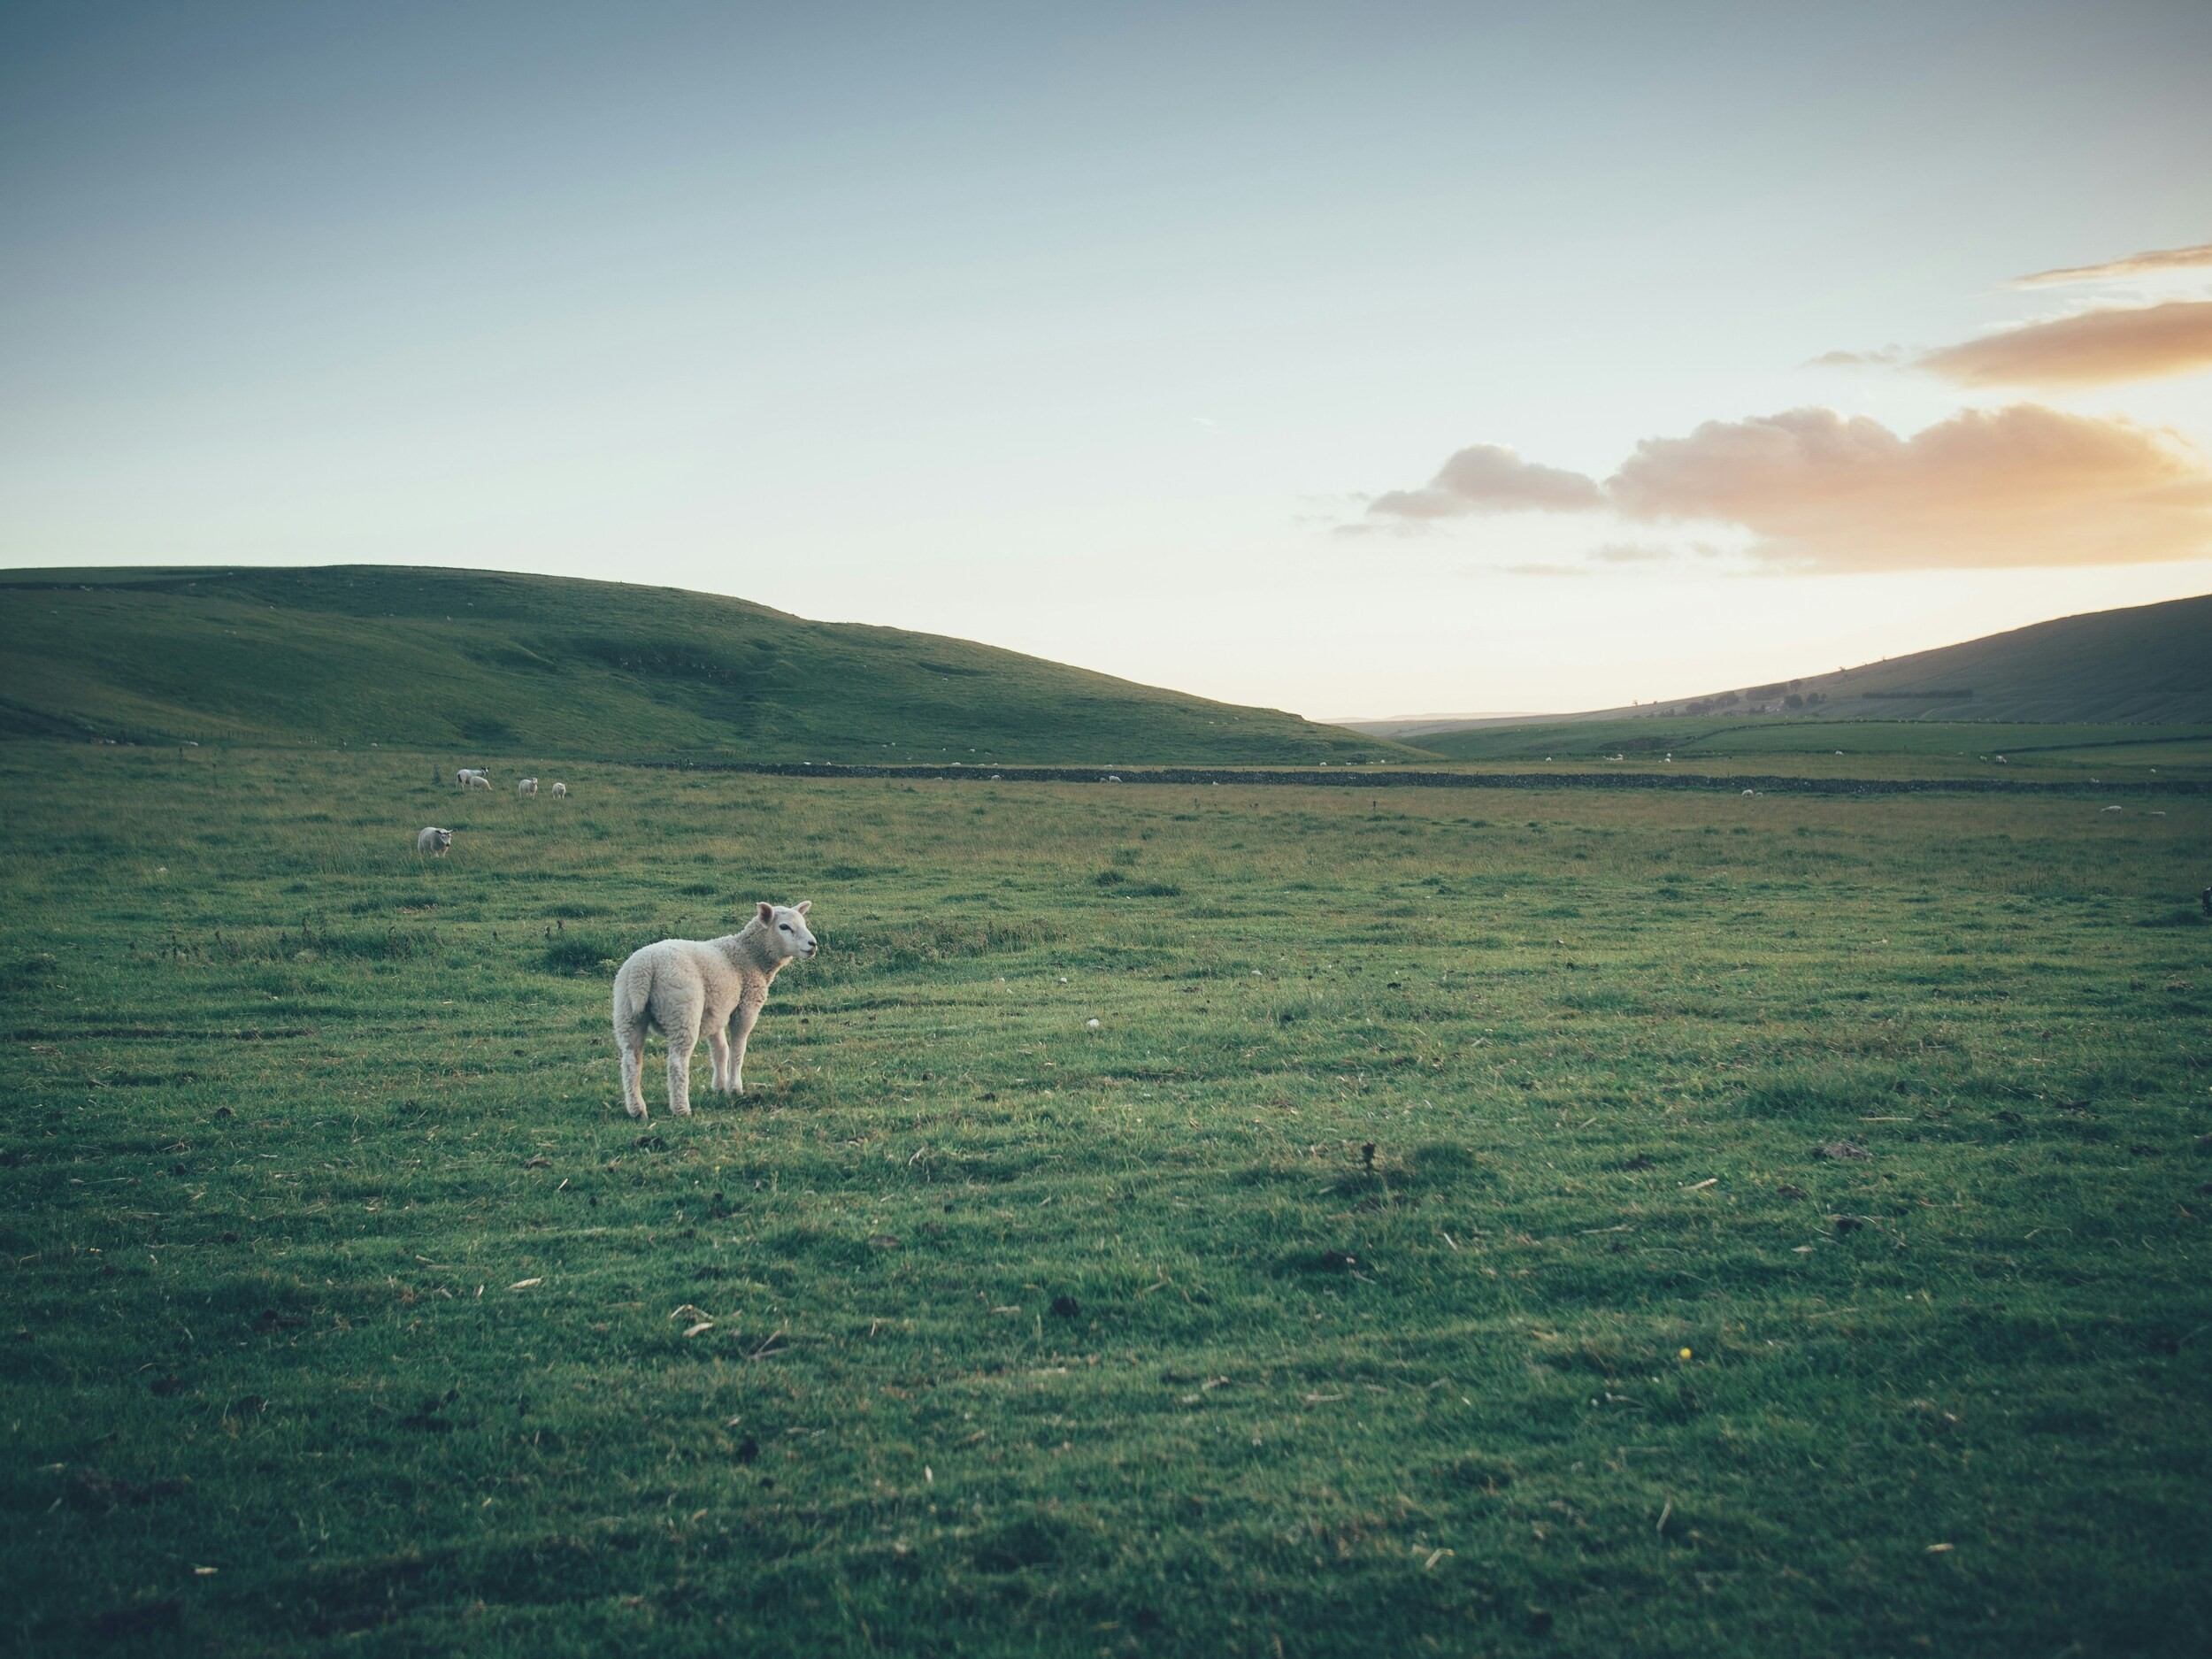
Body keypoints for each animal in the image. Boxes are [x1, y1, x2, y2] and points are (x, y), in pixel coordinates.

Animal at [612, 902, 818, 1121]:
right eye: (784, 927)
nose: (813, 944)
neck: (751, 955)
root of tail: (644, 968)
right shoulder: (745, 1007)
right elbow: (737, 1050)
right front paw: (734, 1088)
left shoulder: (714, 1011)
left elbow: (720, 1050)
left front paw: (718, 1086)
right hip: (682, 1011)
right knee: (677, 1062)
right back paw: (681, 1109)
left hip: (627, 1012)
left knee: (630, 1061)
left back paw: (637, 1110)